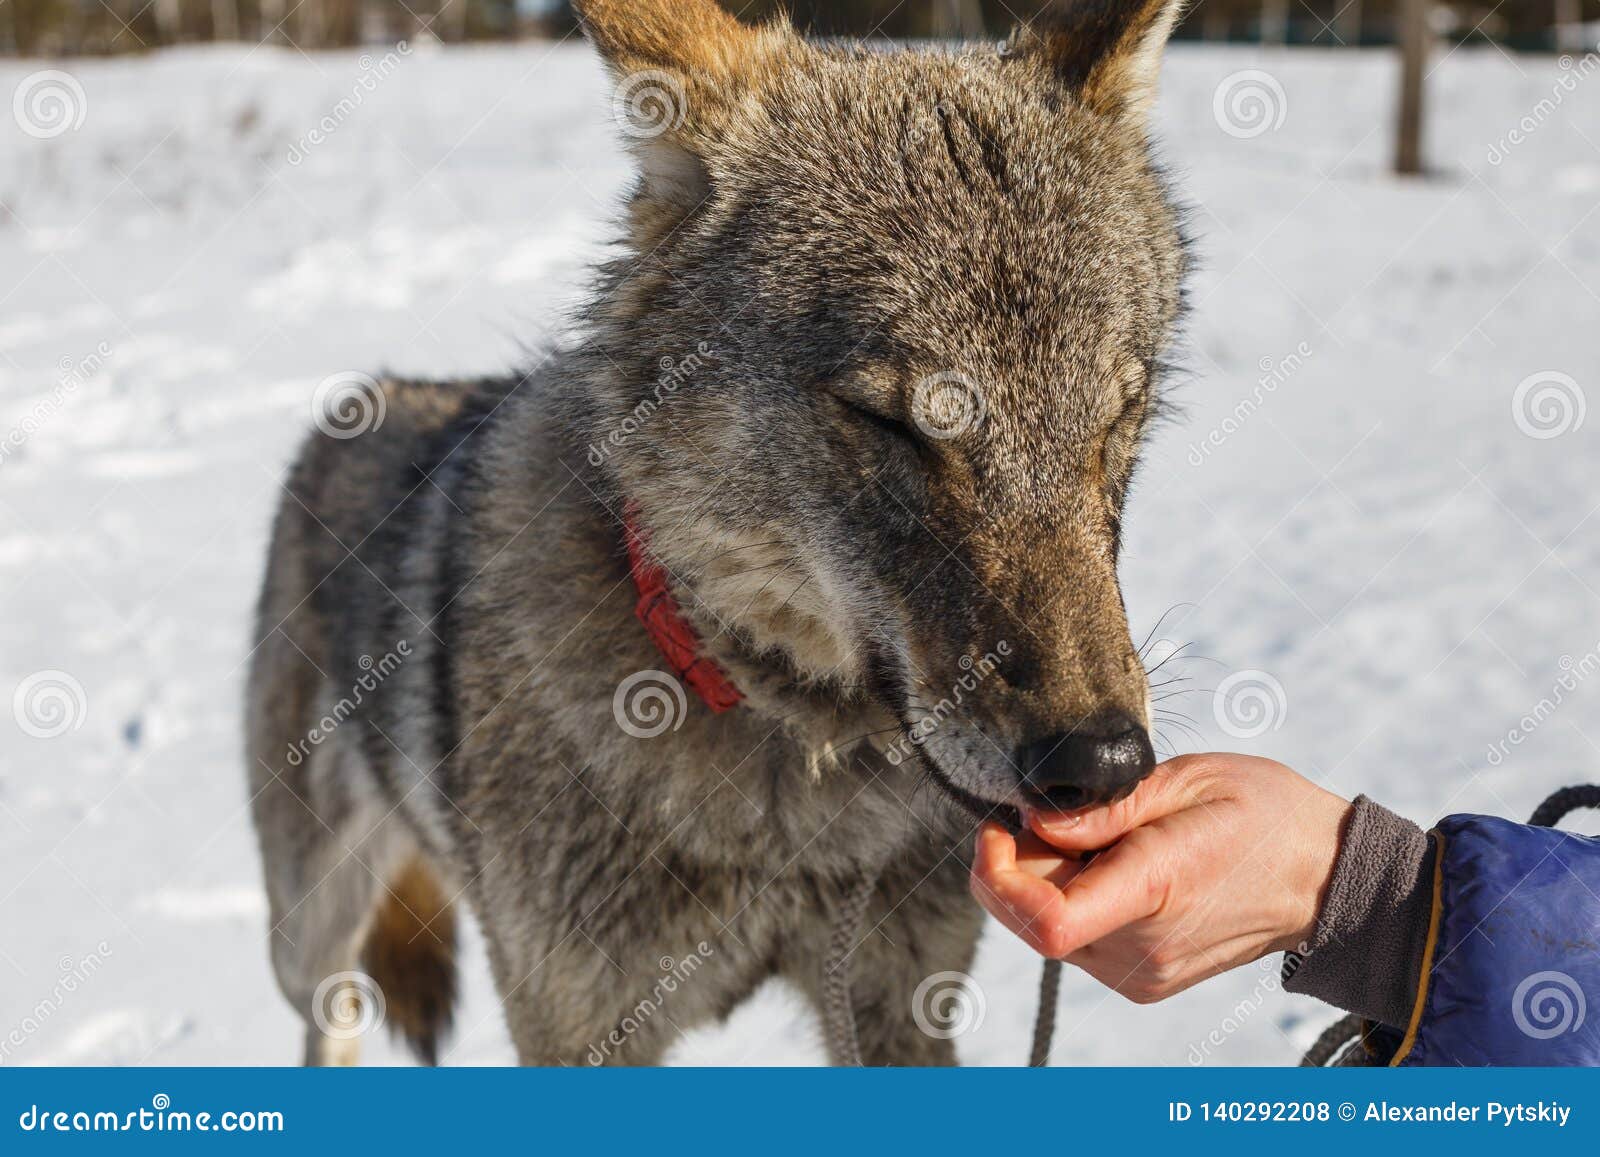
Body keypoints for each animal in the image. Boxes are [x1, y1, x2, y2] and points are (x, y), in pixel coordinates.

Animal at [246, 0, 1190, 1067]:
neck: (798, 786)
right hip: (308, 940)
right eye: (893, 422)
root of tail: (362, 400)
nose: (1101, 765)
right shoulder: (573, 1026)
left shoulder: (900, 1002)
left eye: (1117, 415)